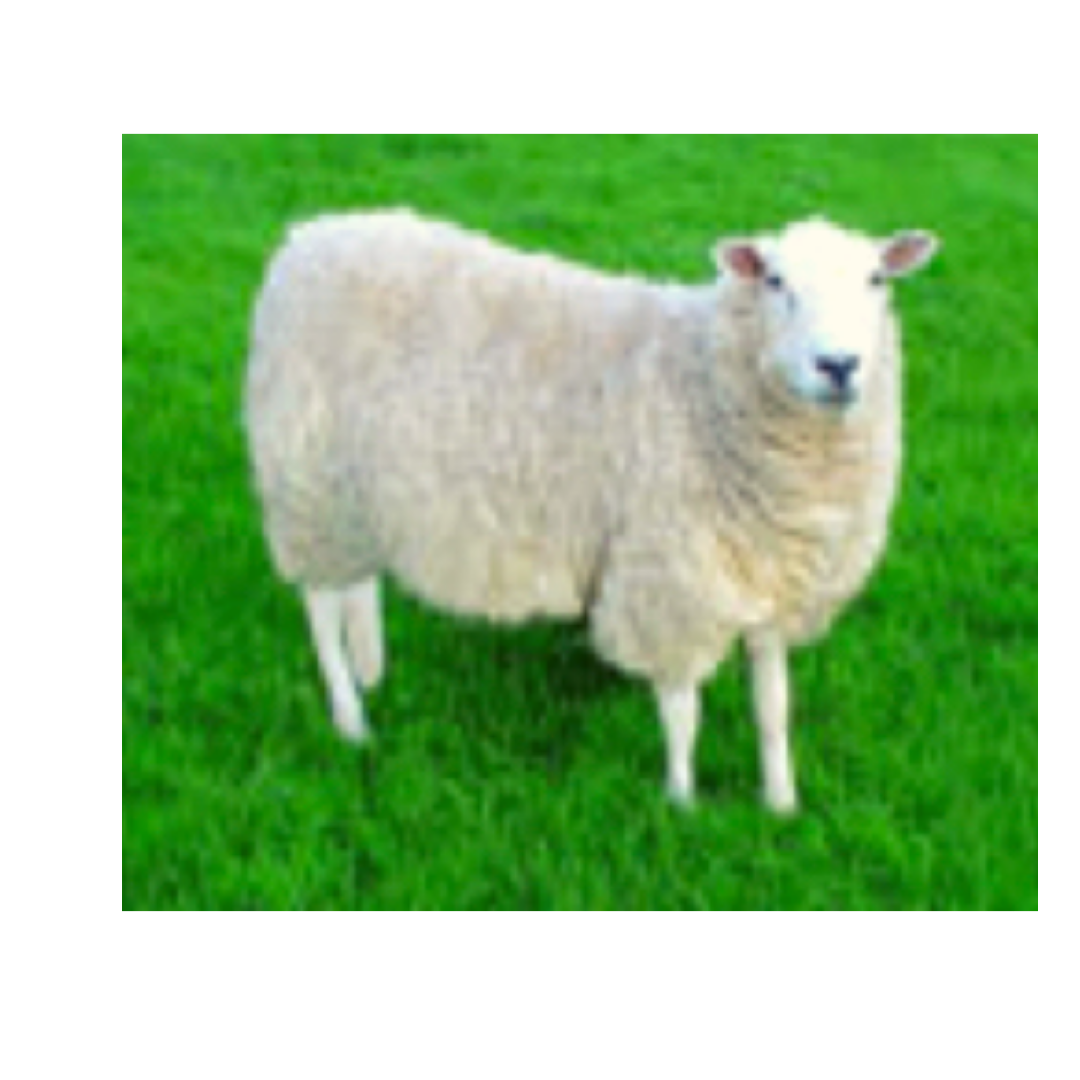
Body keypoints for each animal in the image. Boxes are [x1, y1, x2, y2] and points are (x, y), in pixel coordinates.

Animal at [245, 210, 940, 814]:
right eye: (775, 281)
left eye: (877, 279)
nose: (839, 365)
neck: (704, 383)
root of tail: (307, 238)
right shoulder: (669, 579)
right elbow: (682, 711)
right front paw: (681, 805)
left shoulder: (770, 578)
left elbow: (773, 707)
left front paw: (782, 804)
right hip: (307, 488)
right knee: (321, 608)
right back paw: (350, 717)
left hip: (355, 498)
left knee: (355, 587)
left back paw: (370, 675)